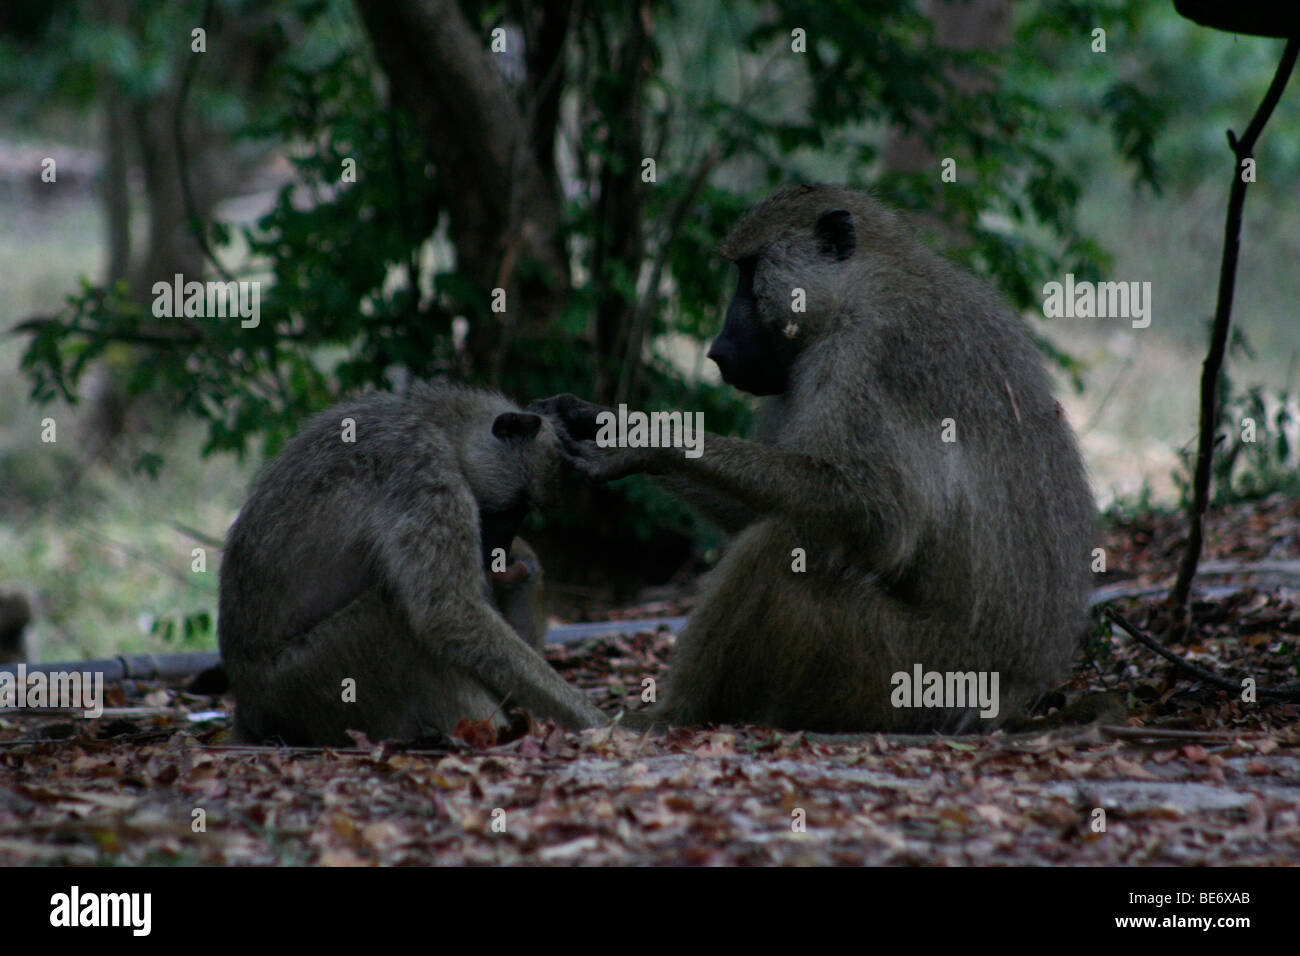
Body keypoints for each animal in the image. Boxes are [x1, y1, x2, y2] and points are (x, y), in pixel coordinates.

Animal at [218, 383, 605, 746]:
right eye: (516, 506)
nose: (500, 548)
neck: (443, 426)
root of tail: (248, 709)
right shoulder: (423, 472)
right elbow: (449, 613)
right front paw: (600, 723)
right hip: (299, 685)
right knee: (391, 618)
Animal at [542, 184, 1096, 734]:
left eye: (748, 273)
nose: (718, 350)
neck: (856, 289)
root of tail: (1011, 696)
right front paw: (607, 424)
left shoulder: (866, 354)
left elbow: (881, 518)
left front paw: (644, 438)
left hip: (912, 673)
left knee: (779, 548)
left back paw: (667, 716)